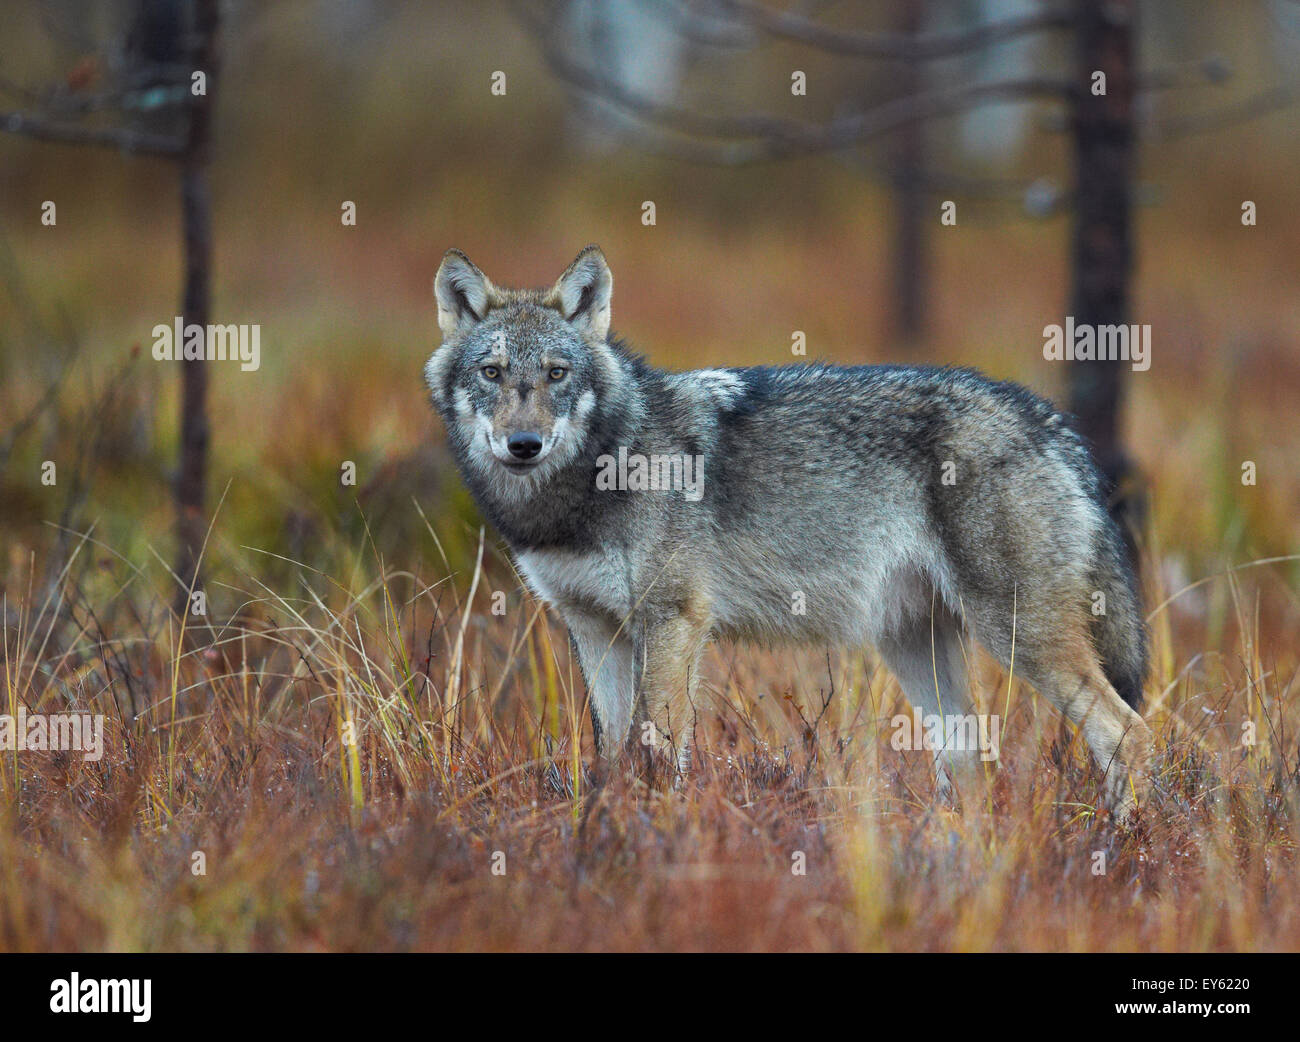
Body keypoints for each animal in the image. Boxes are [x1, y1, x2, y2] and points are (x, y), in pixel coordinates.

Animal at [425, 245, 1155, 820]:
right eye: (492, 373)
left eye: (556, 373)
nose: (524, 444)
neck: (591, 478)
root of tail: (1046, 418)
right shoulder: (593, 628)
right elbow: (611, 754)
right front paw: (604, 829)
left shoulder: (673, 620)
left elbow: (657, 751)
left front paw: (654, 838)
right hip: (916, 646)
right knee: (973, 761)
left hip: (1015, 636)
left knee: (1128, 733)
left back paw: (1125, 849)